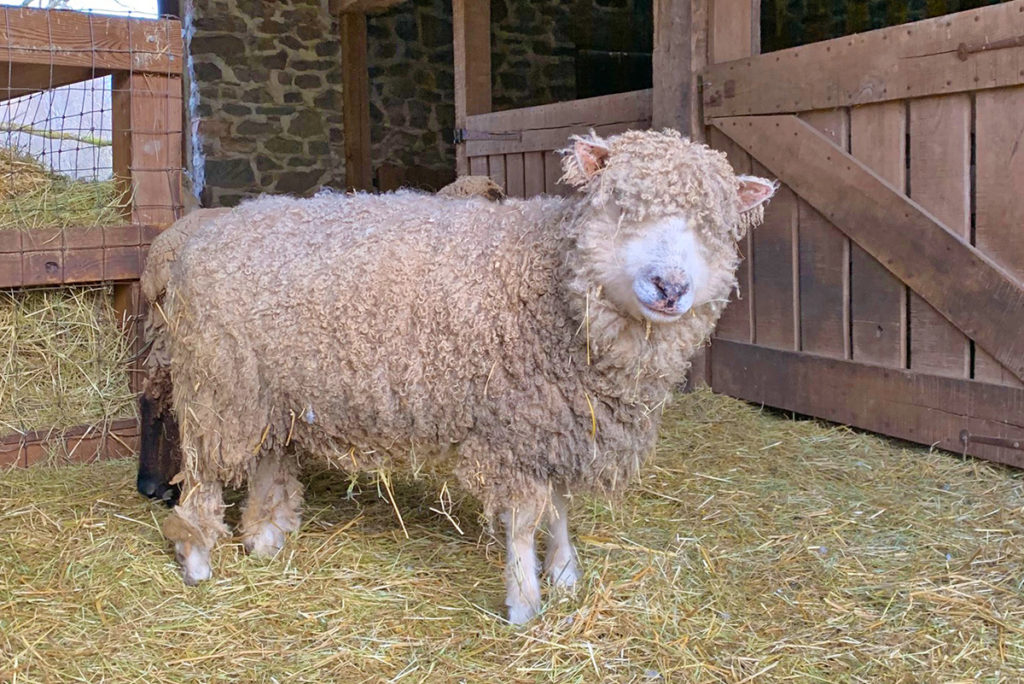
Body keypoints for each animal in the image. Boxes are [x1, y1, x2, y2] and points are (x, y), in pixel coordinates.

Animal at [158, 129, 775, 624]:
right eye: (622, 208)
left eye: (713, 228)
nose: (670, 287)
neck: (544, 277)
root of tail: (206, 234)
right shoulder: (514, 427)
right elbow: (525, 519)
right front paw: (524, 601)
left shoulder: (554, 423)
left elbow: (560, 506)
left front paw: (565, 572)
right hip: (216, 384)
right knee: (201, 476)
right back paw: (196, 560)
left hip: (266, 392)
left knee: (264, 456)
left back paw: (262, 539)